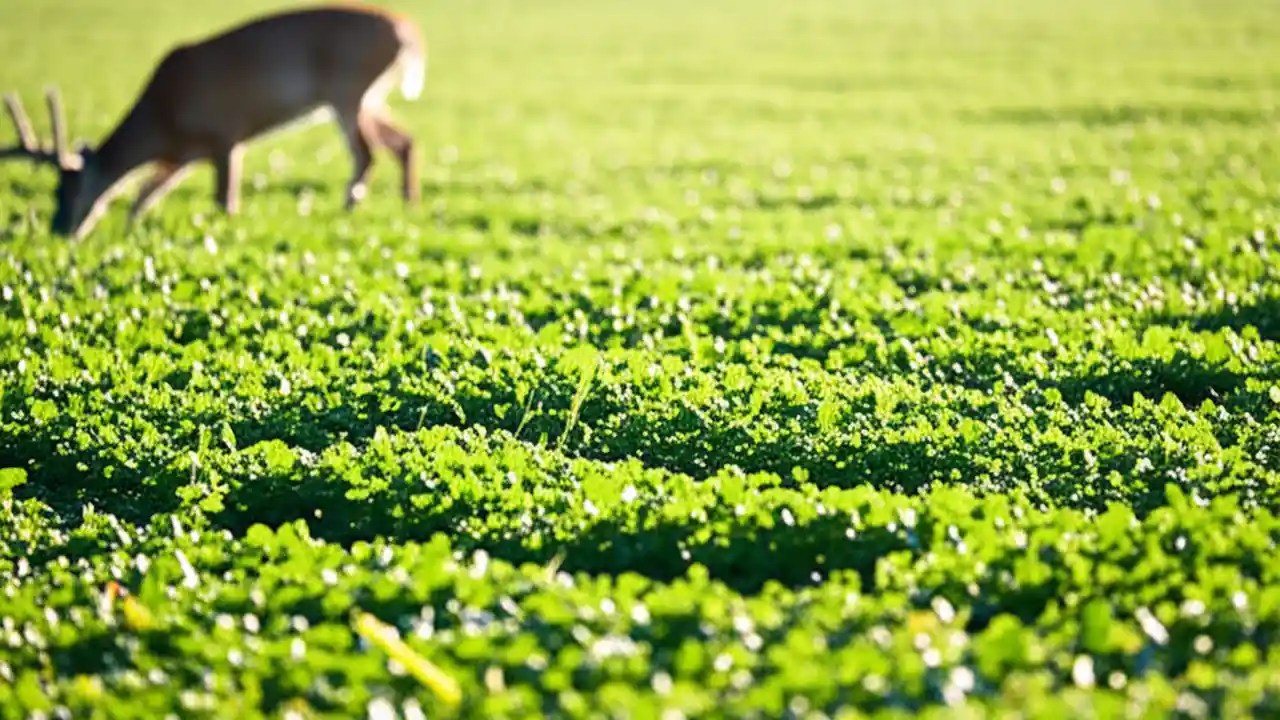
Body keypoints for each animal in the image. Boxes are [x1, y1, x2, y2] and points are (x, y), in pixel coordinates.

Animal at [0, 3, 427, 240]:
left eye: (67, 192)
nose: (59, 230)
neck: (162, 118)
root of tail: (406, 30)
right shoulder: (183, 156)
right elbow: (143, 196)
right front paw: (129, 233)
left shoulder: (226, 137)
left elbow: (225, 201)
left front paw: (225, 234)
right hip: (366, 97)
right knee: (404, 141)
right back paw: (408, 203)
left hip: (348, 91)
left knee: (367, 152)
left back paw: (350, 207)